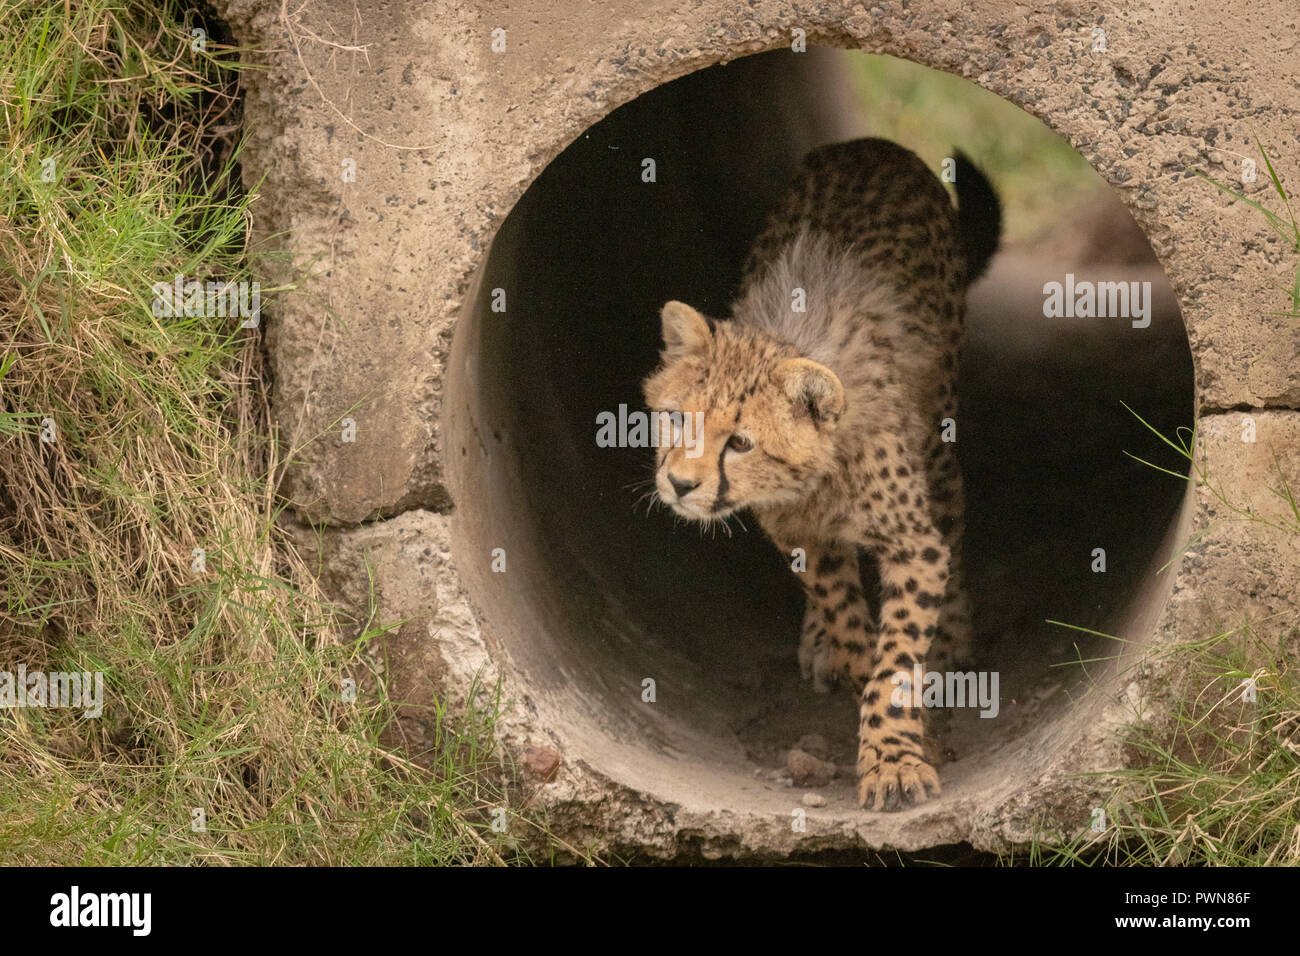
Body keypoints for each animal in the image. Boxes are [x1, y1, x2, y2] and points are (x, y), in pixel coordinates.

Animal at [641, 137, 1001, 811]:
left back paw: (953, 637)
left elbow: (897, 652)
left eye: (740, 442)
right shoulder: (801, 536)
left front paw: (896, 759)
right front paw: (890, 718)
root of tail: (870, 145)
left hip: (939, 436)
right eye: (676, 420)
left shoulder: (911, 543)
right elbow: (855, 632)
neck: (814, 477)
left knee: (952, 517)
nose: (680, 485)